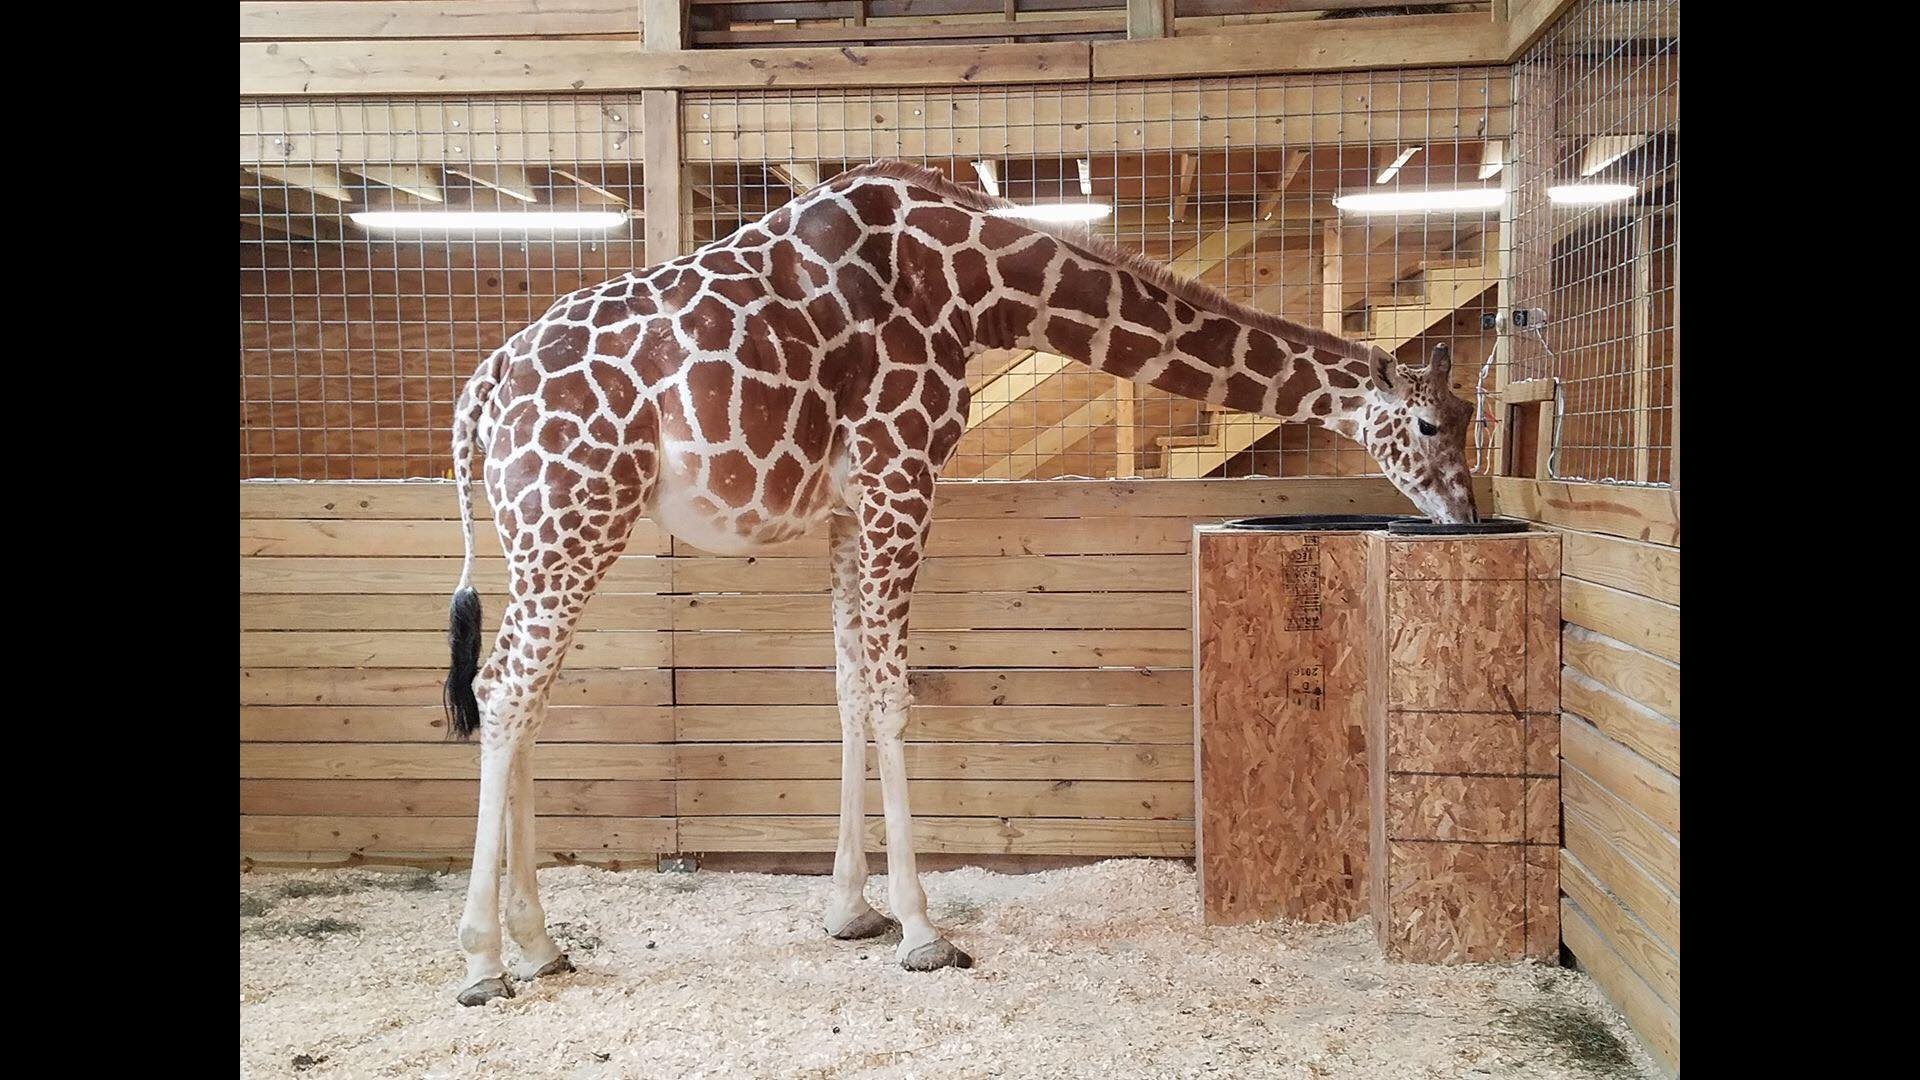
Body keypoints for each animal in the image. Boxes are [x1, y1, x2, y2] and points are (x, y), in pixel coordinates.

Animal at [440, 159, 1478, 1005]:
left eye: (1468, 419)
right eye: (1431, 426)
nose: (1466, 515)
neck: (979, 284)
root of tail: (480, 393)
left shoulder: (848, 507)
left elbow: (851, 691)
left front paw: (851, 911)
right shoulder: (904, 473)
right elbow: (895, 696)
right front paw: (922, 930)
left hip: (547, 533)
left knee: (525, 695)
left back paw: (539, 946)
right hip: (573, 517)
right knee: (505, 688)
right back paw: (484, 959)